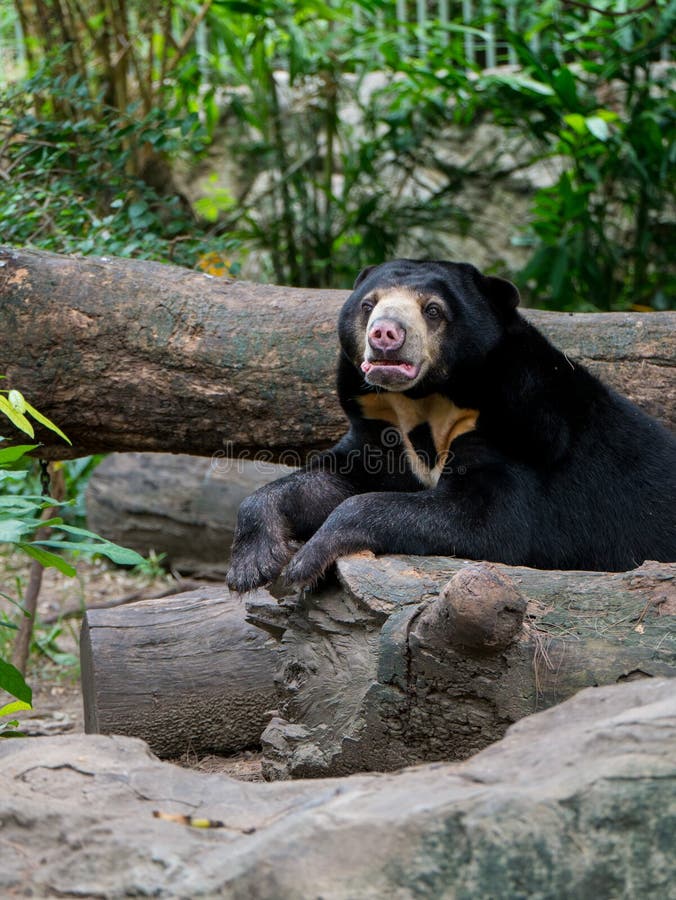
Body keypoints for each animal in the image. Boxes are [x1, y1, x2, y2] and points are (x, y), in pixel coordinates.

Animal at [226, 259, 676, 592]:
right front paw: (253, 564)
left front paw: (306, 560)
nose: (385, 334)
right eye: (368, 305)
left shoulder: (520, 432)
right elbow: (331, 479)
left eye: (433, 310)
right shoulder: (378, 426)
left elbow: (489, 519)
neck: (424, 401)